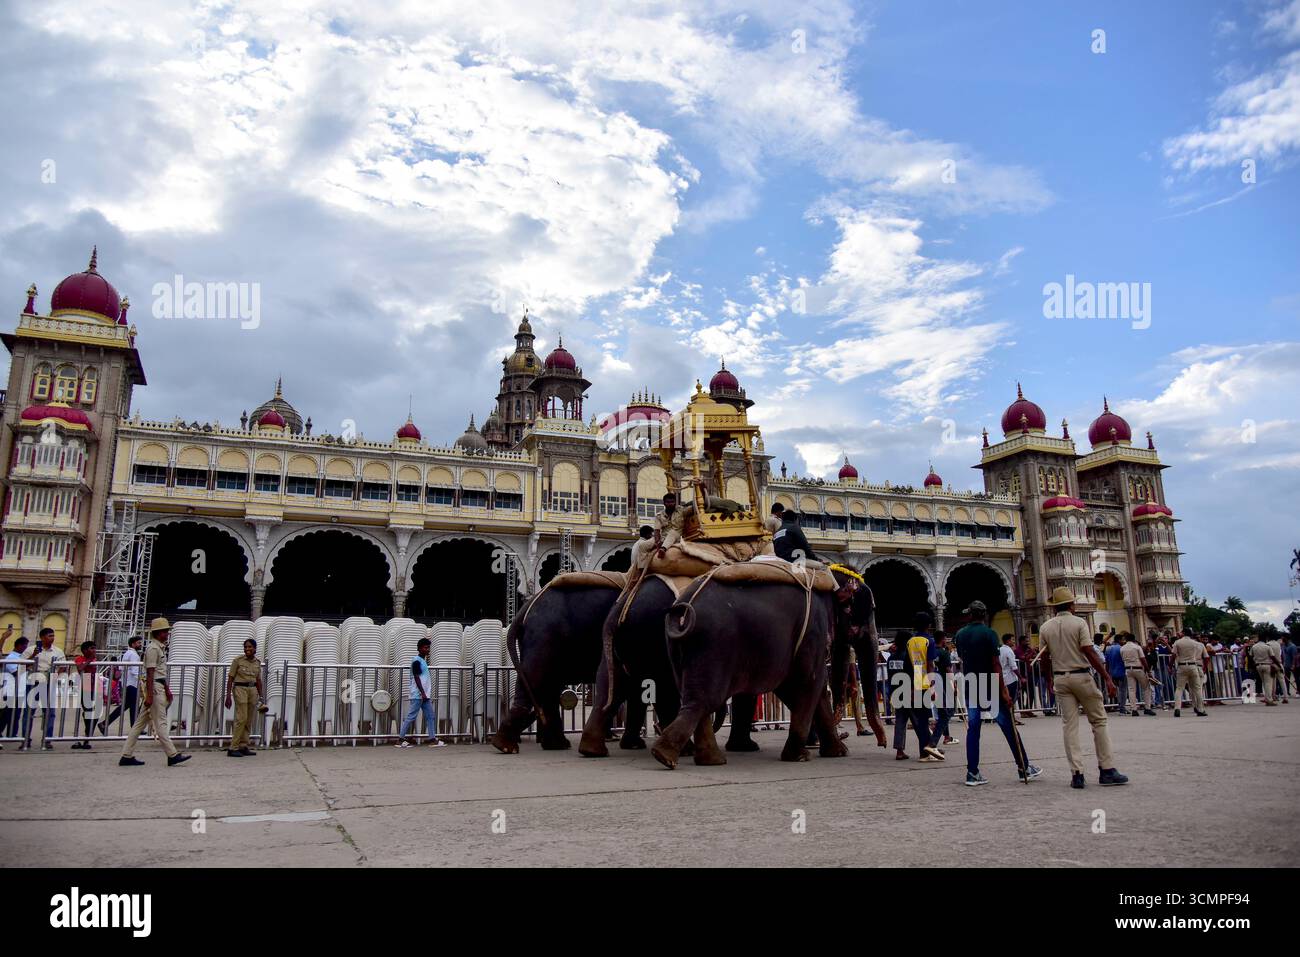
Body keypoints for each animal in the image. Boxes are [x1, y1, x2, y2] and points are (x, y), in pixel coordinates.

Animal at [490, 579, 625, 754]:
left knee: (544, 687)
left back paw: (554, 744)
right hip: (545, 637)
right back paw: (508, 746)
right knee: (536, 680)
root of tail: (527, 607)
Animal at [650, 566, 854, 769]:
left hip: (679, 649)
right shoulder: (811, 632)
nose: (845, 732)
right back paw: (667, 756)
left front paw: (839, 752)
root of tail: (684, 606)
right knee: (705, 699)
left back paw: (703, 760)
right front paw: (801, 756)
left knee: (693, 697)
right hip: (713, 646)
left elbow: (795, 688)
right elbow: (808, 682)